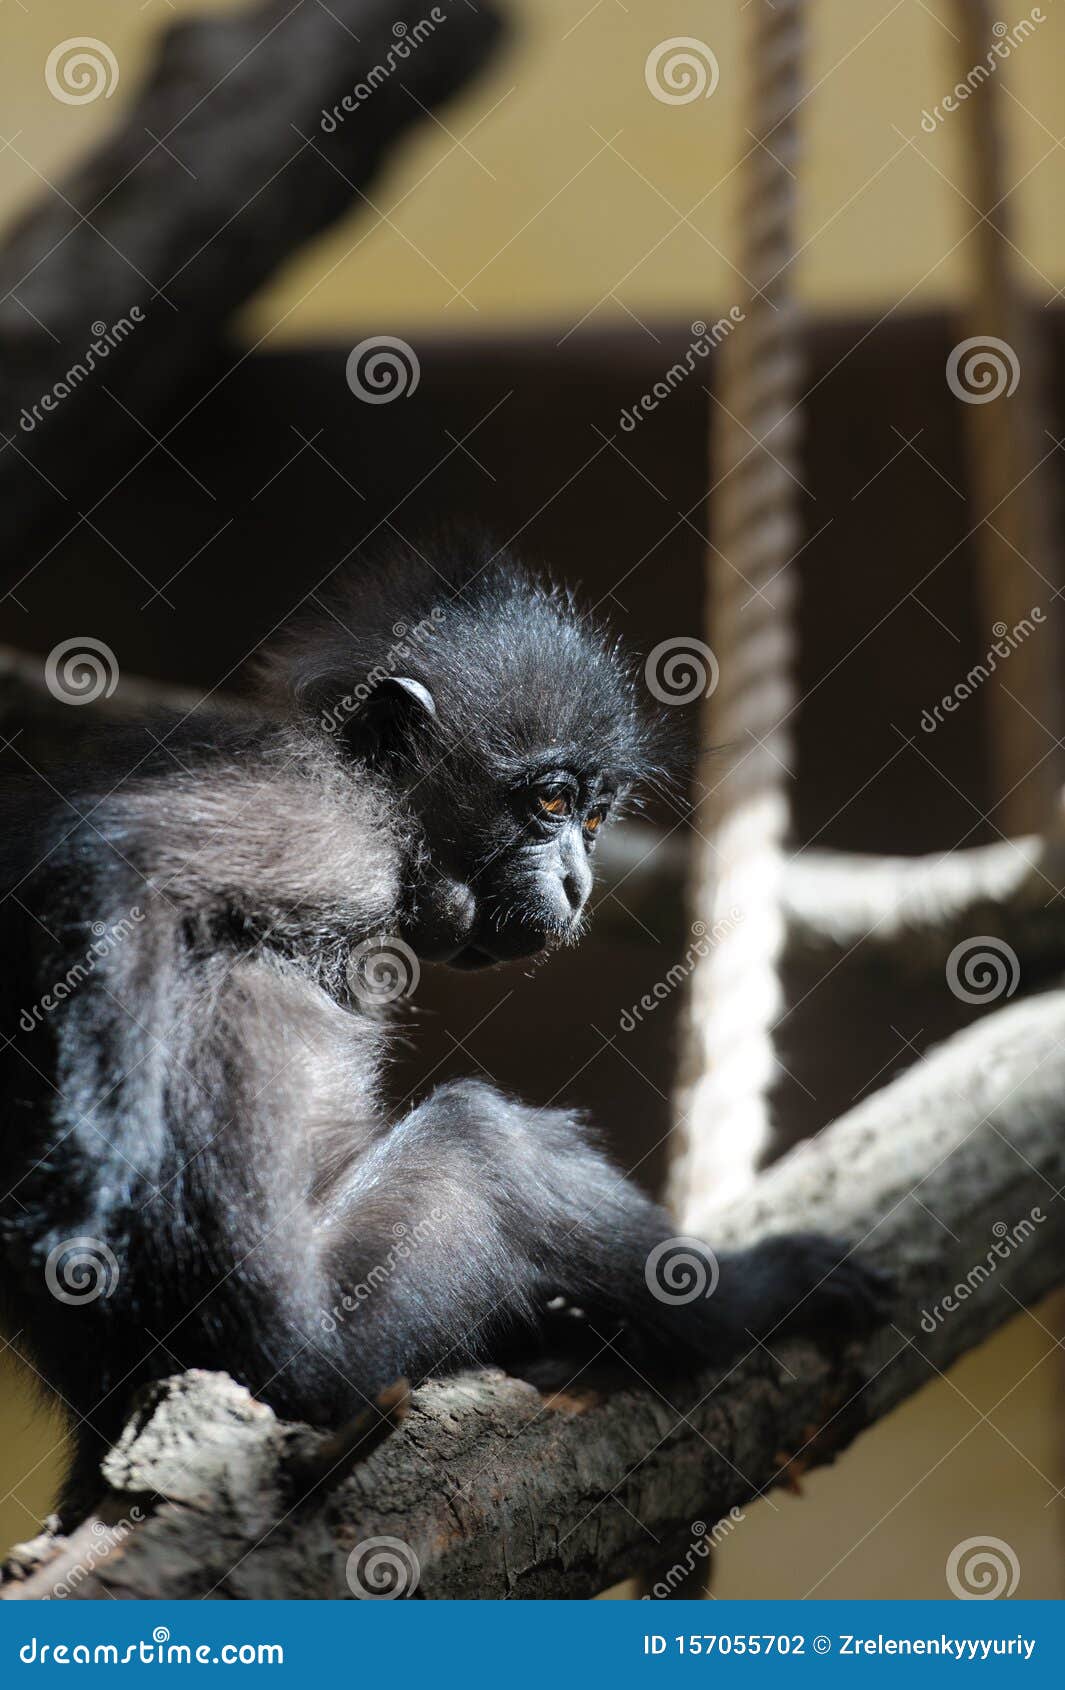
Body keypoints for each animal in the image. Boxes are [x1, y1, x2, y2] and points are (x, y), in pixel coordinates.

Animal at [0, 538, 887, 1516]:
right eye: (549, 805)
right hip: (317, 1353)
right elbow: (106, 858)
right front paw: (85, 1178)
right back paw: (749, 1302)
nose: (579, 884)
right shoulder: (335, 831)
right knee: (487, 1141)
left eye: (593, 818)